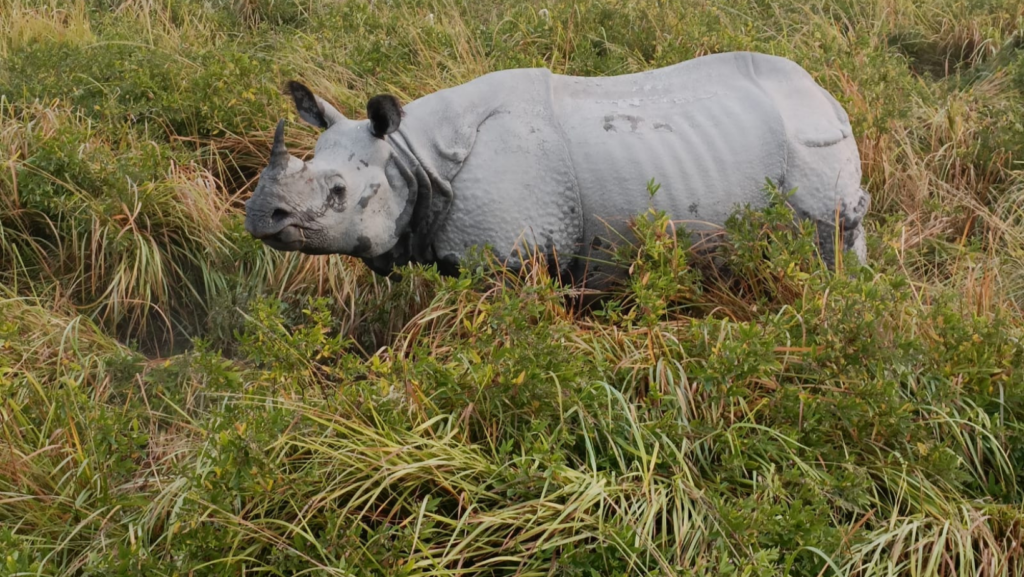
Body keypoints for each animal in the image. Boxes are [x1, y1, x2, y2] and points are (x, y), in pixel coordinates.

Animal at [244, 51, 869, 287]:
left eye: (338, 191)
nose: (258, 218)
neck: (409, 156)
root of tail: (825, 93)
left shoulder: (511, 257)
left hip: (812, 141)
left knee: (832, 229)